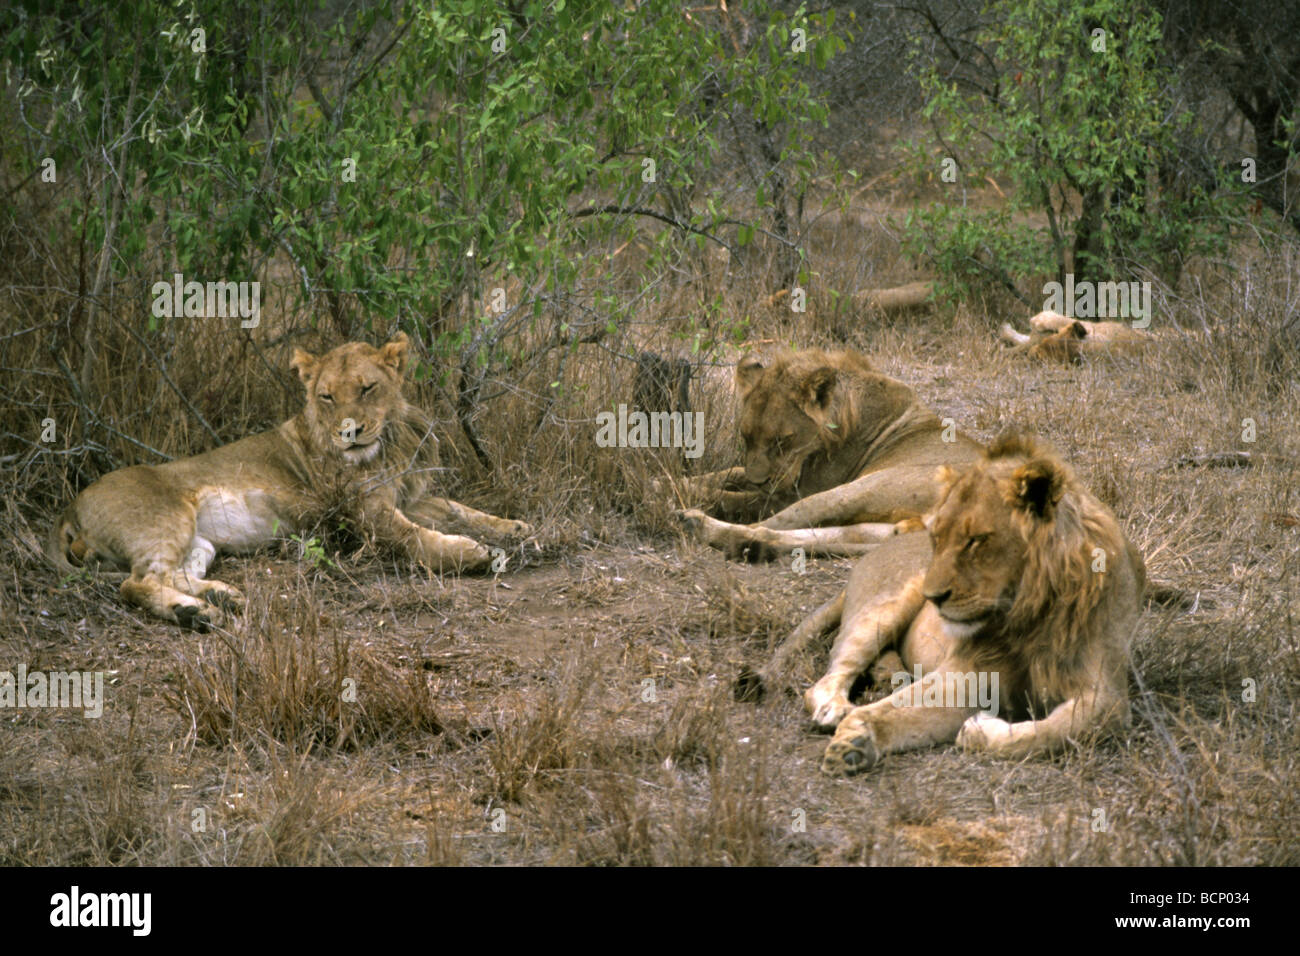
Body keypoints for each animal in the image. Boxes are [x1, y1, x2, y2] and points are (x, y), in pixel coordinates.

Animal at [47, 332, 530, 629]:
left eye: (367, 388)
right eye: (327, 396)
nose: (350, 432)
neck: (388, 441)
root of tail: (68, 508)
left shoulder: (409, 497)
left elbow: (459, 509)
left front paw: (515, 528)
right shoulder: (365, 511)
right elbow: (414, 537)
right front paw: (472, 554)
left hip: (200, 543)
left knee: (171, 575)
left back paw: (220, 598)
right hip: (164, 518)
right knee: (136, 583)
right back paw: (194, 615)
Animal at [676, 348, 983, 559]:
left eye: (782, 441)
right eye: (746, 437)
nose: (759, 481)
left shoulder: (794, 491)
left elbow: (734, 498)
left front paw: (680, 489)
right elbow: (729, 473)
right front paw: (677, 480)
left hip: (859, 490)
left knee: (767, 522)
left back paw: (700, 523)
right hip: (885, 527)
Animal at [785, 433, 1146, 776]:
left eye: (975, 541)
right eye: (937, 537)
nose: (933, 597)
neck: (1027, 613)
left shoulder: (1107, 692)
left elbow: (1061, 730)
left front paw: (978, 730)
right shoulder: (970, 668)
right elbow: (896, 709)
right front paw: (855, 738)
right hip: (881, 608)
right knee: (830, 673)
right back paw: (834, 707)